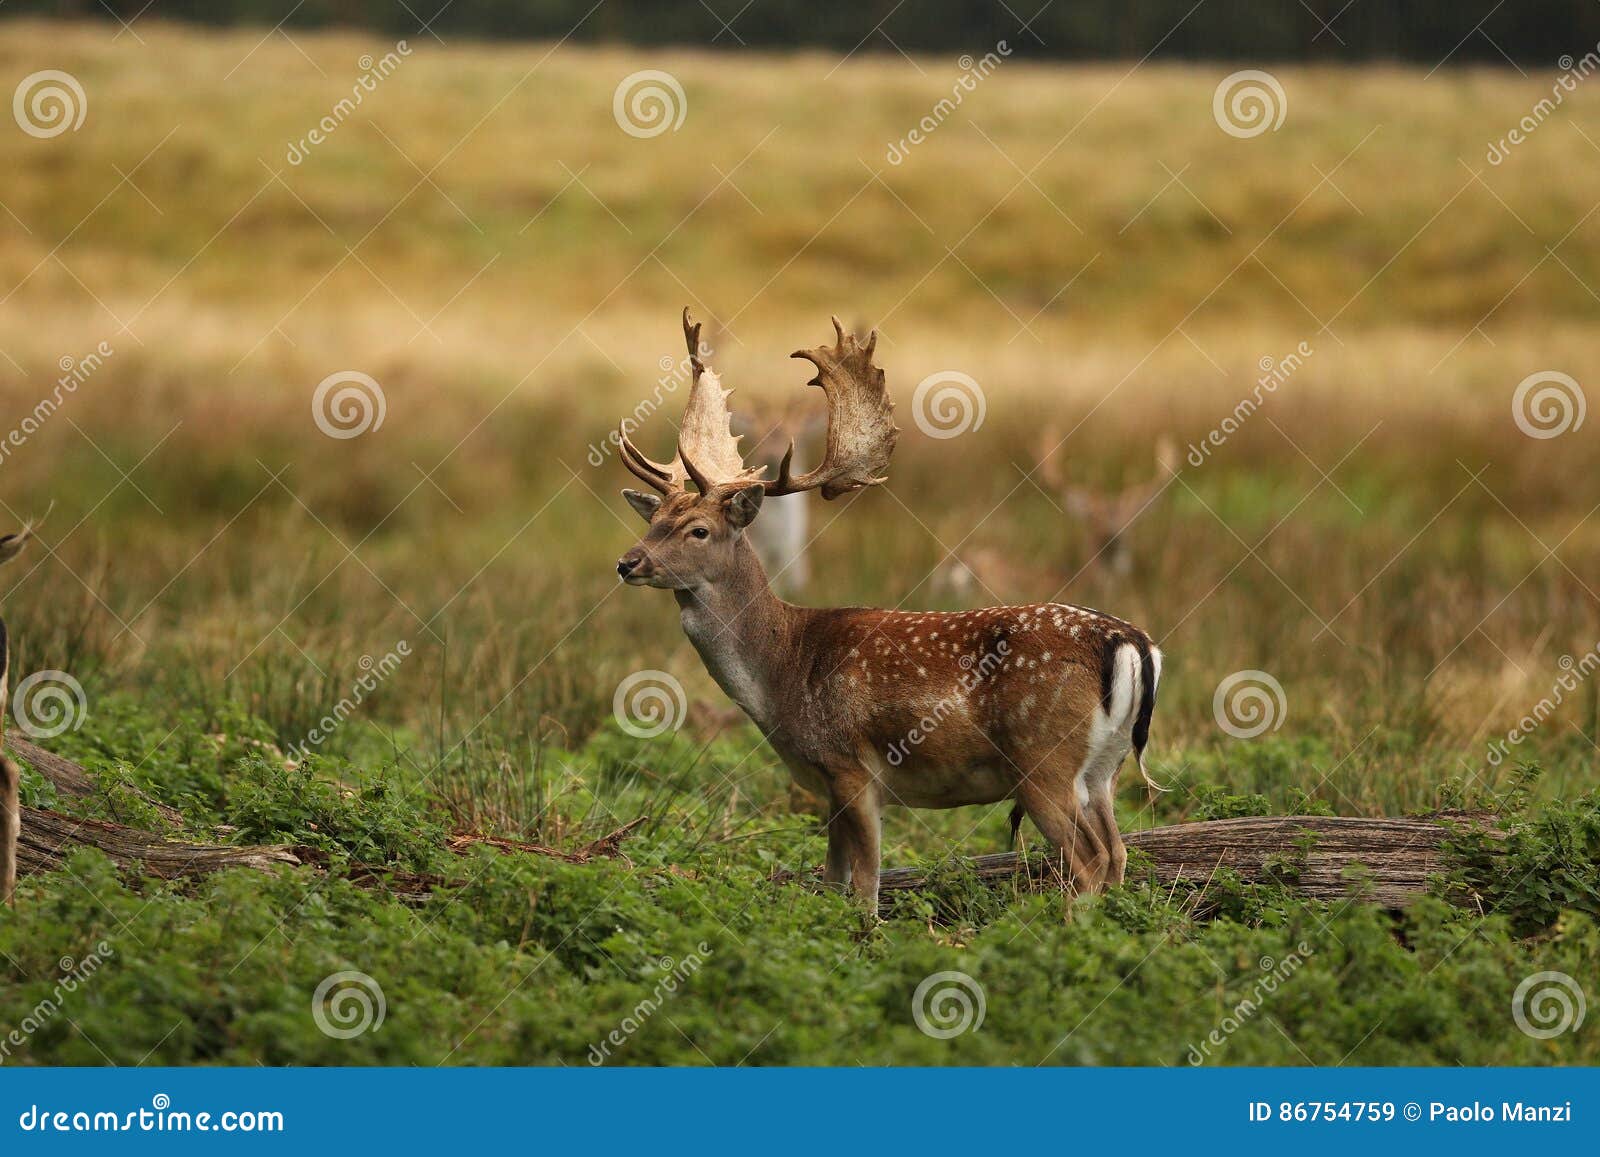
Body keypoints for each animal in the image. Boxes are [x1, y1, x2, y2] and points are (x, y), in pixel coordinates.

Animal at [614, 309, 1164, 910]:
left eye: (699, 530)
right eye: (654, 520)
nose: (627, 562)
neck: (783, 671)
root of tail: (1132, 644)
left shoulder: (852, 767)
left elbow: (866, 888)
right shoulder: (827, 784)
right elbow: (832, 881)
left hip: (1043, 759)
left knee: (1088, 862)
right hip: (1105, 769)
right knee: (1117, 854)